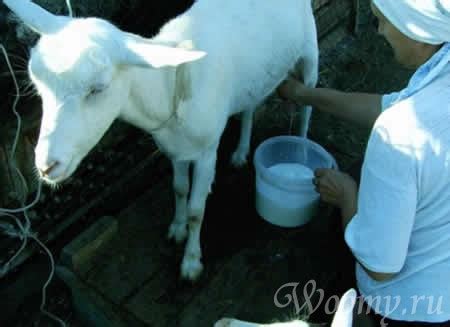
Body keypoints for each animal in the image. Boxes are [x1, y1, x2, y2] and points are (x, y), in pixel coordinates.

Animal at [4, 0, 320, 282]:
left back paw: (301, 149)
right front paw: (177, 230)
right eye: (37, 85)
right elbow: (179, 189)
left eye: (98, 88)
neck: (171, 86)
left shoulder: (207, 152)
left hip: (310, 52)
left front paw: (191, 262)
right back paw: (242, 152)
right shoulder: (174, 148)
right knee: (250, 104)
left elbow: (196, 211)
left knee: (307, 103)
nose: (46, 166)